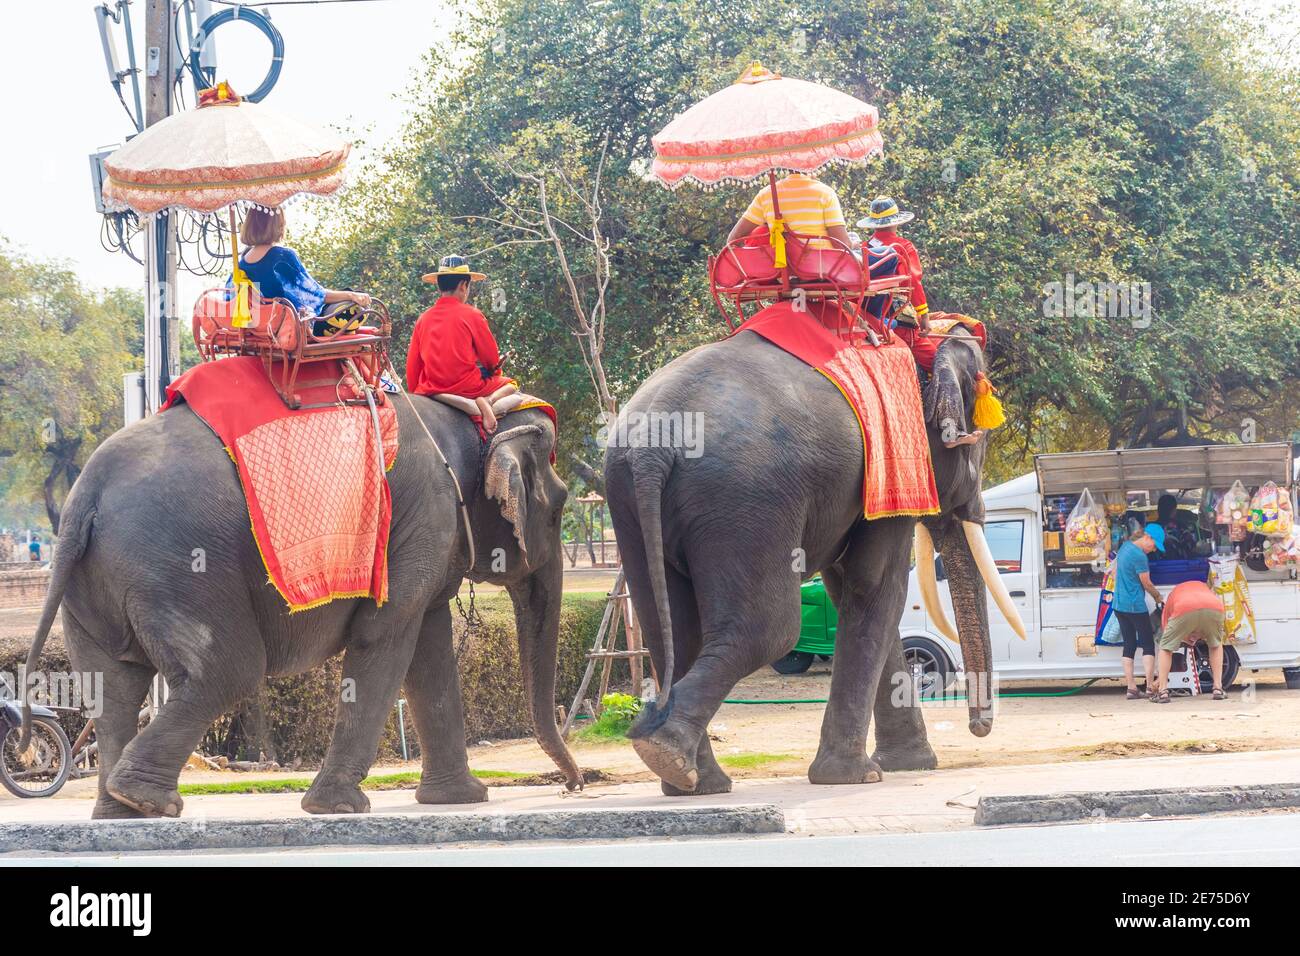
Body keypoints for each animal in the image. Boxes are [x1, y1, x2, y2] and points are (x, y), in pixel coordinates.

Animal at [22, 397, 580, 818]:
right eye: (558, 511)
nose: (573, 784)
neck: (470, 418)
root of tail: (85, 495)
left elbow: (428, 643)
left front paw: (459, 799)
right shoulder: (427, 512)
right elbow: (387, 634)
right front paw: (337, 807)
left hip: (94, 581)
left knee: (111, 685)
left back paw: (120, 812)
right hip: (178, 565)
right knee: (228, 671)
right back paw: (146, 801)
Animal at [604, 324, 1025, 794]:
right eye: (978, 447)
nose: (978, 728)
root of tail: (651, 447)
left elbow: (849, 592)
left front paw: (908, 765)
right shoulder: (891, 467)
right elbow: (878, 587)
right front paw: (858, 776)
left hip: (630, 505)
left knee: (672, 634)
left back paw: (695, 781)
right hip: (747, 502)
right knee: (768, 631)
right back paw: (668, 754)